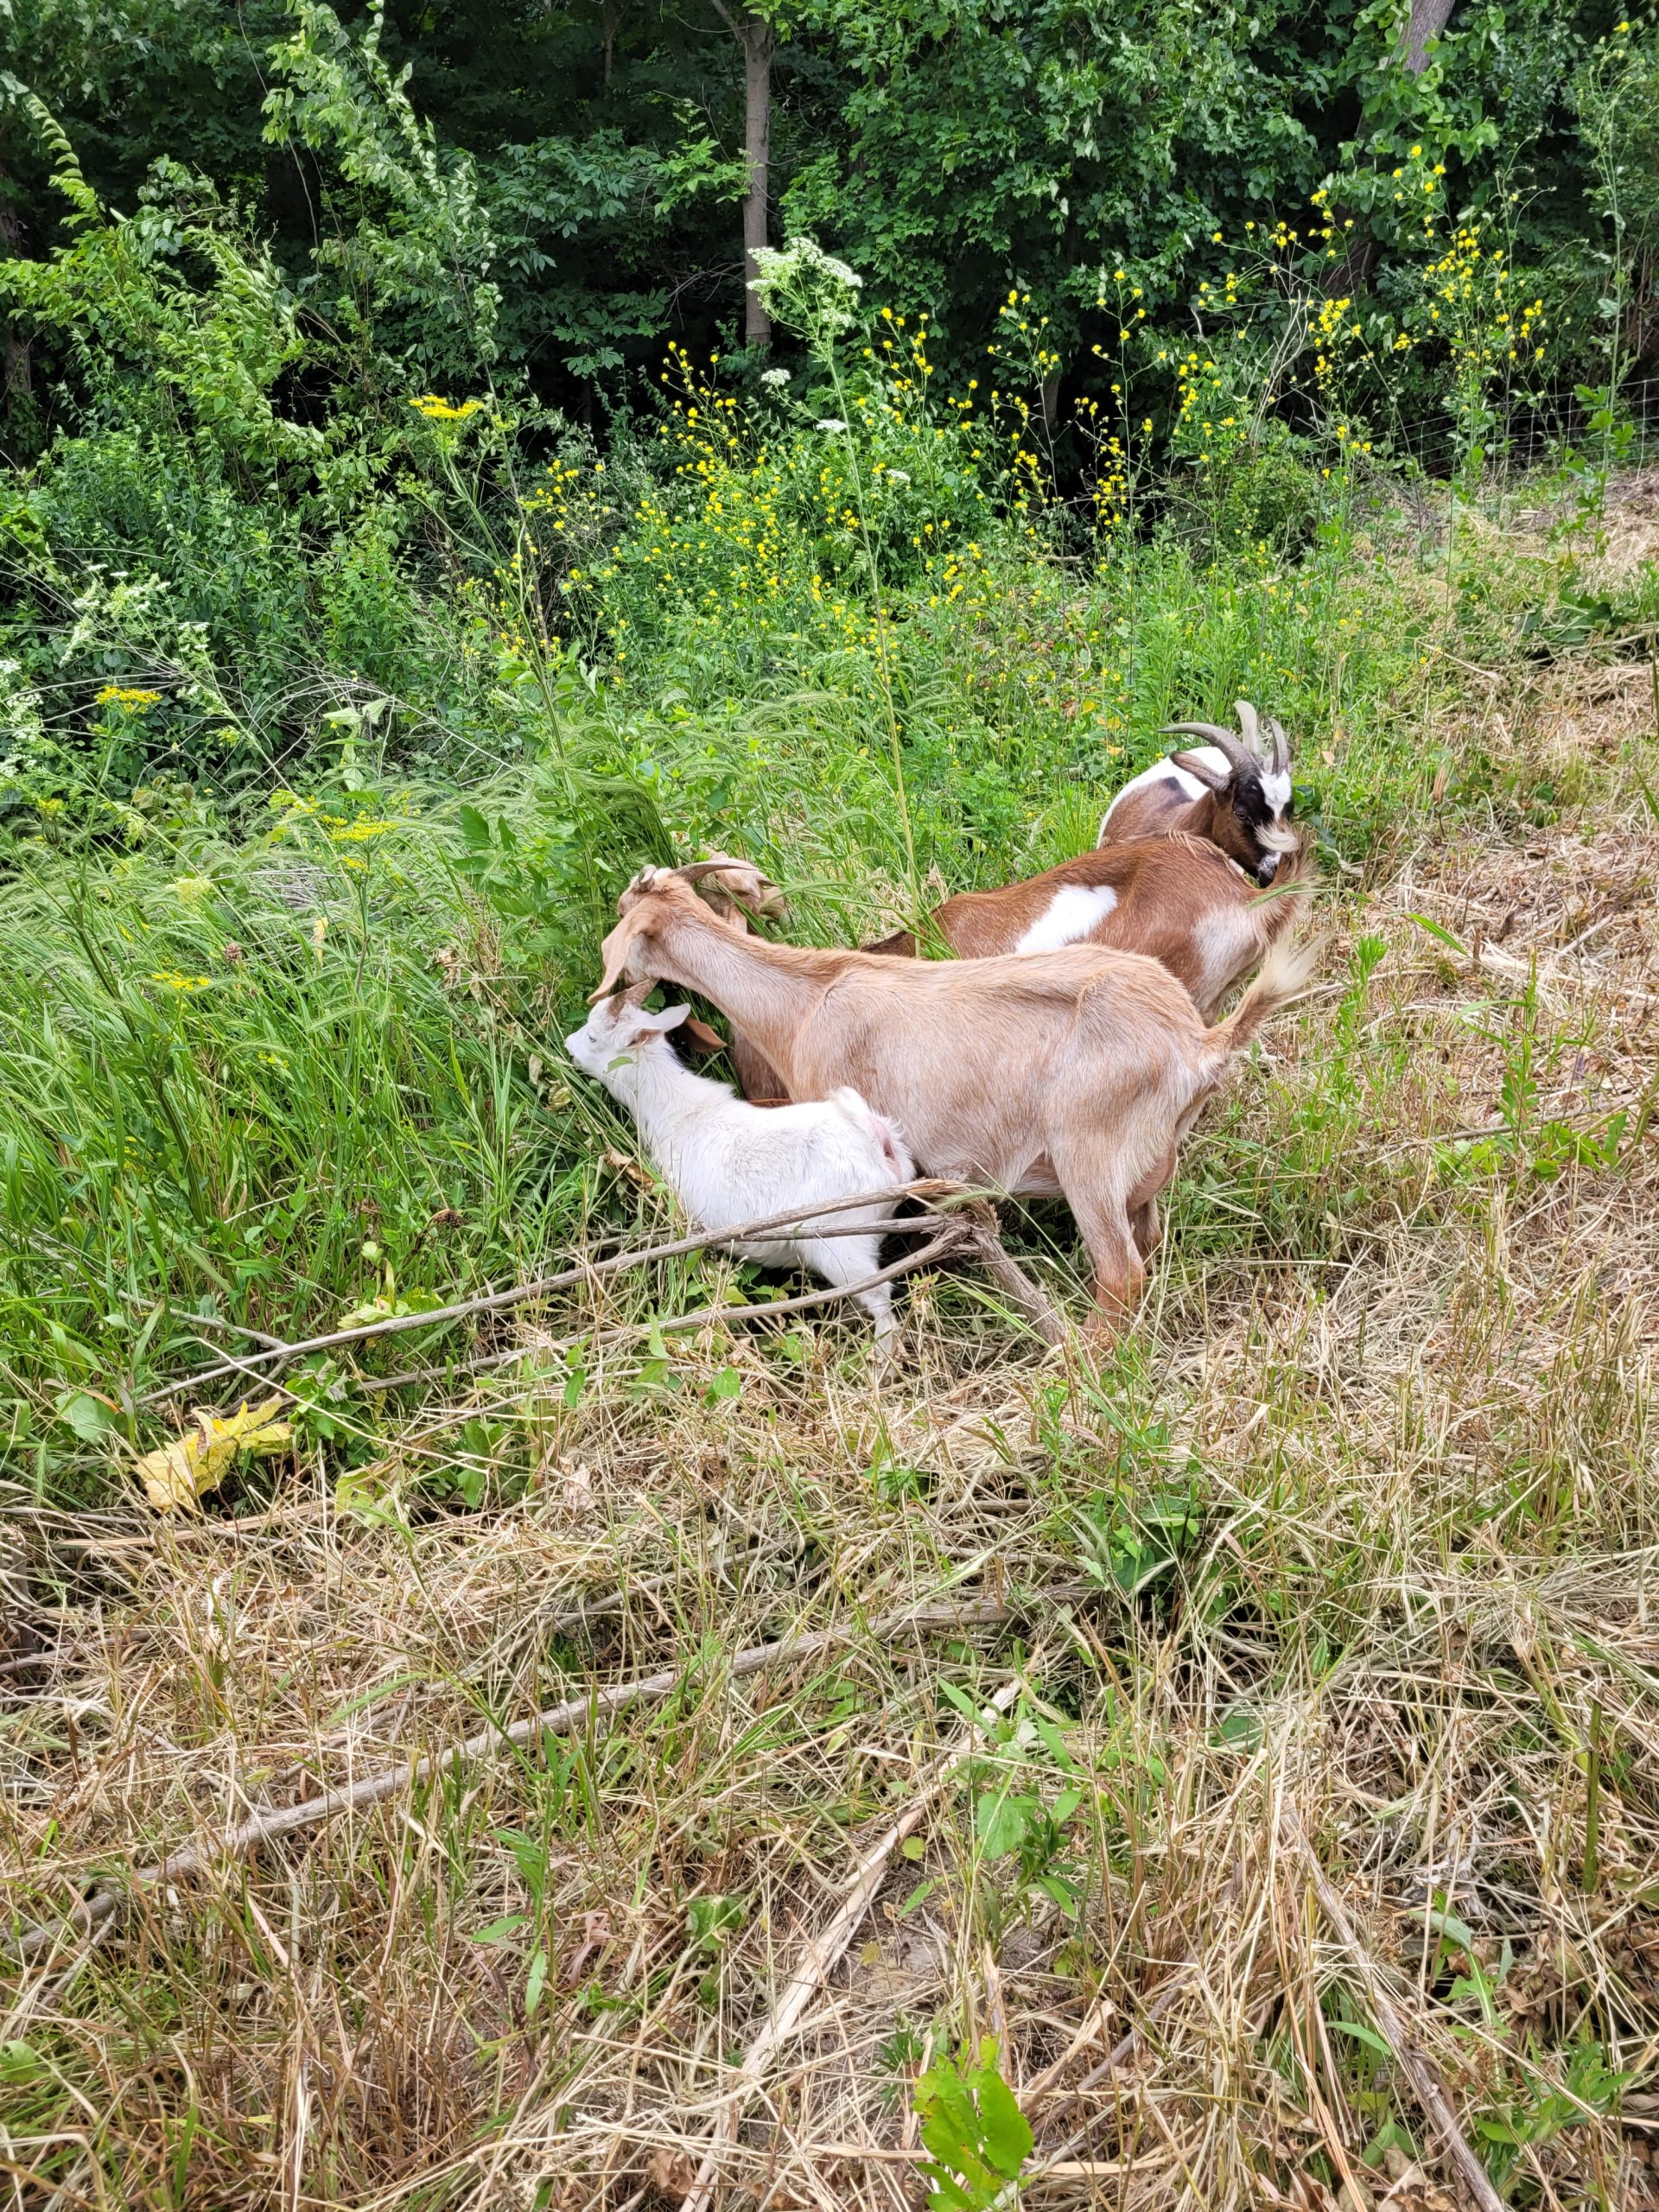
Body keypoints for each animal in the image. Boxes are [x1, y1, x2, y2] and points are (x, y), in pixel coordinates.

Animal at [564, 980, 914, 1348]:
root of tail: (879, 1141)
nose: (568, 1043)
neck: (678, 1112)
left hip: (841, 1241)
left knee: (879, 1298)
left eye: (593, 1037)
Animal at [588, 863, 1313, 1334]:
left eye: (623, 920)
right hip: (1146, 1167)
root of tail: (1199, 1042)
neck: (805, 1001)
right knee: (1150, 1242)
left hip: (1089, 1155)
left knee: (1120, 1275)